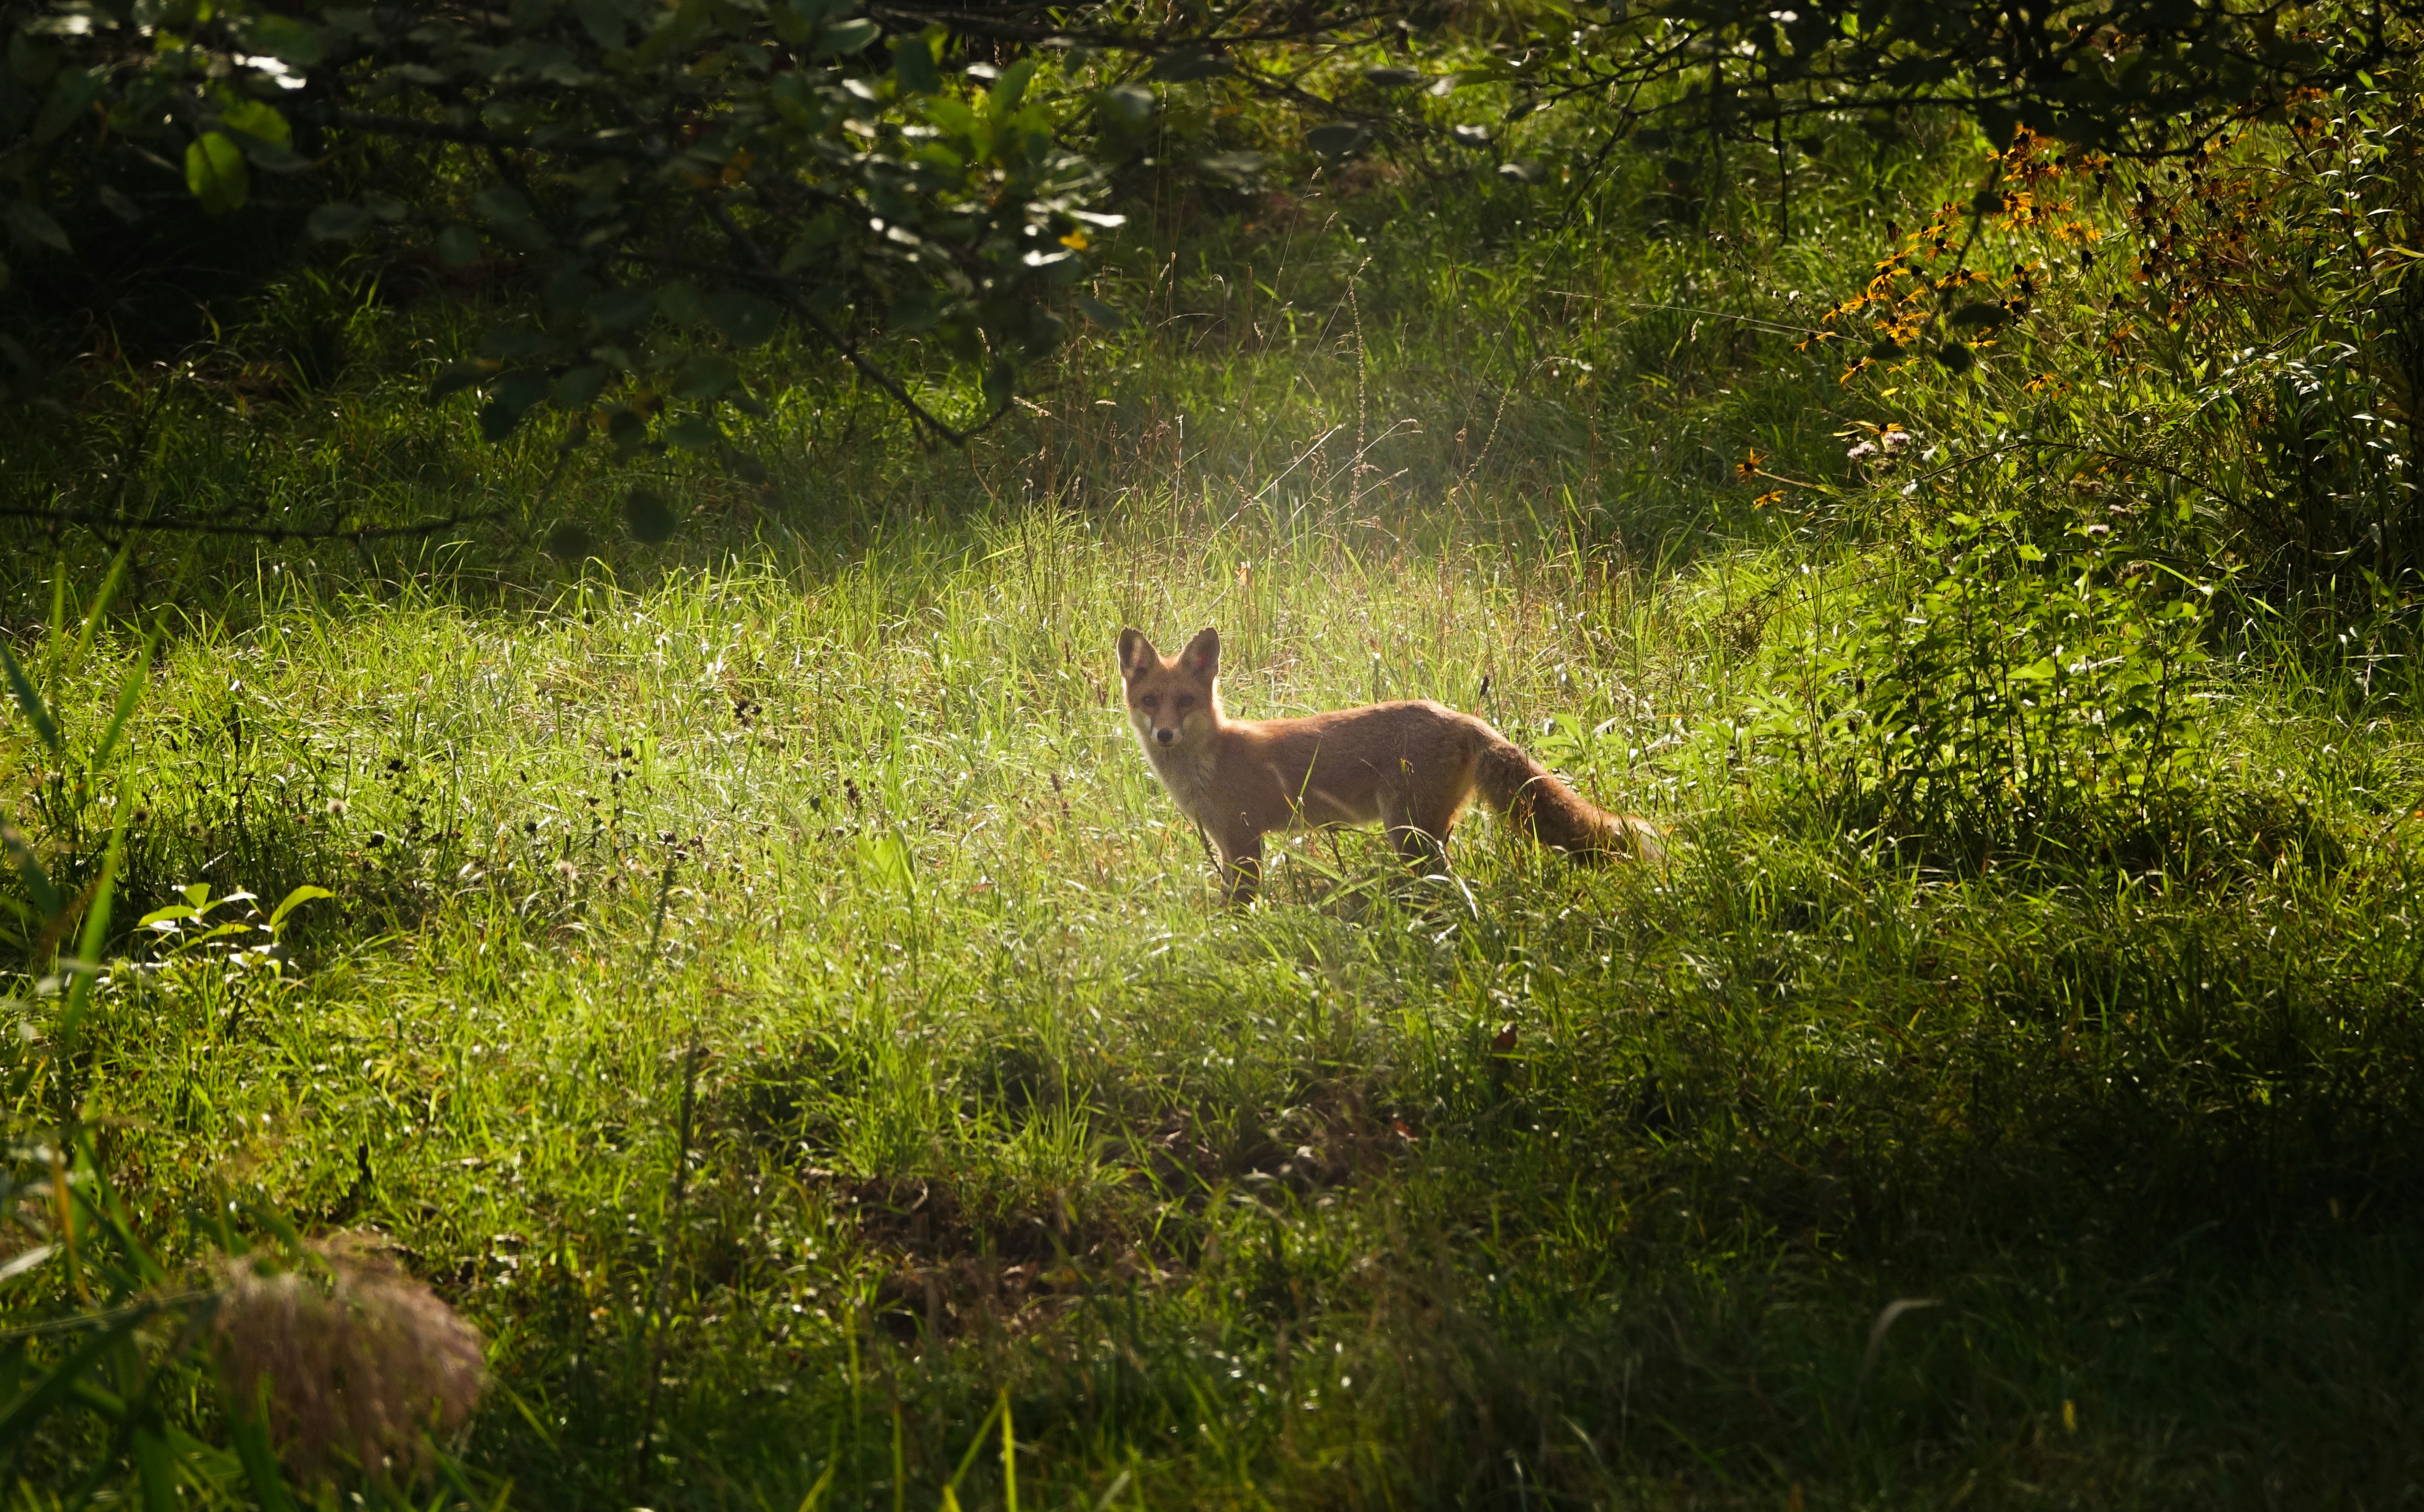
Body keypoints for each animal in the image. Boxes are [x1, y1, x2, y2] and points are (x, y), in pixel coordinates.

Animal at [1116, 625, 1662, 904]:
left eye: (1185, 702)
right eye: (1150, 702)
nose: (1164, 734)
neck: (1209, 764)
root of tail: (1459, 716)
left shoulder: (1245, 845)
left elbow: (1238, 909)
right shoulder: (1228, 845)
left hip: (1407, 834)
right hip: (1427, 832)